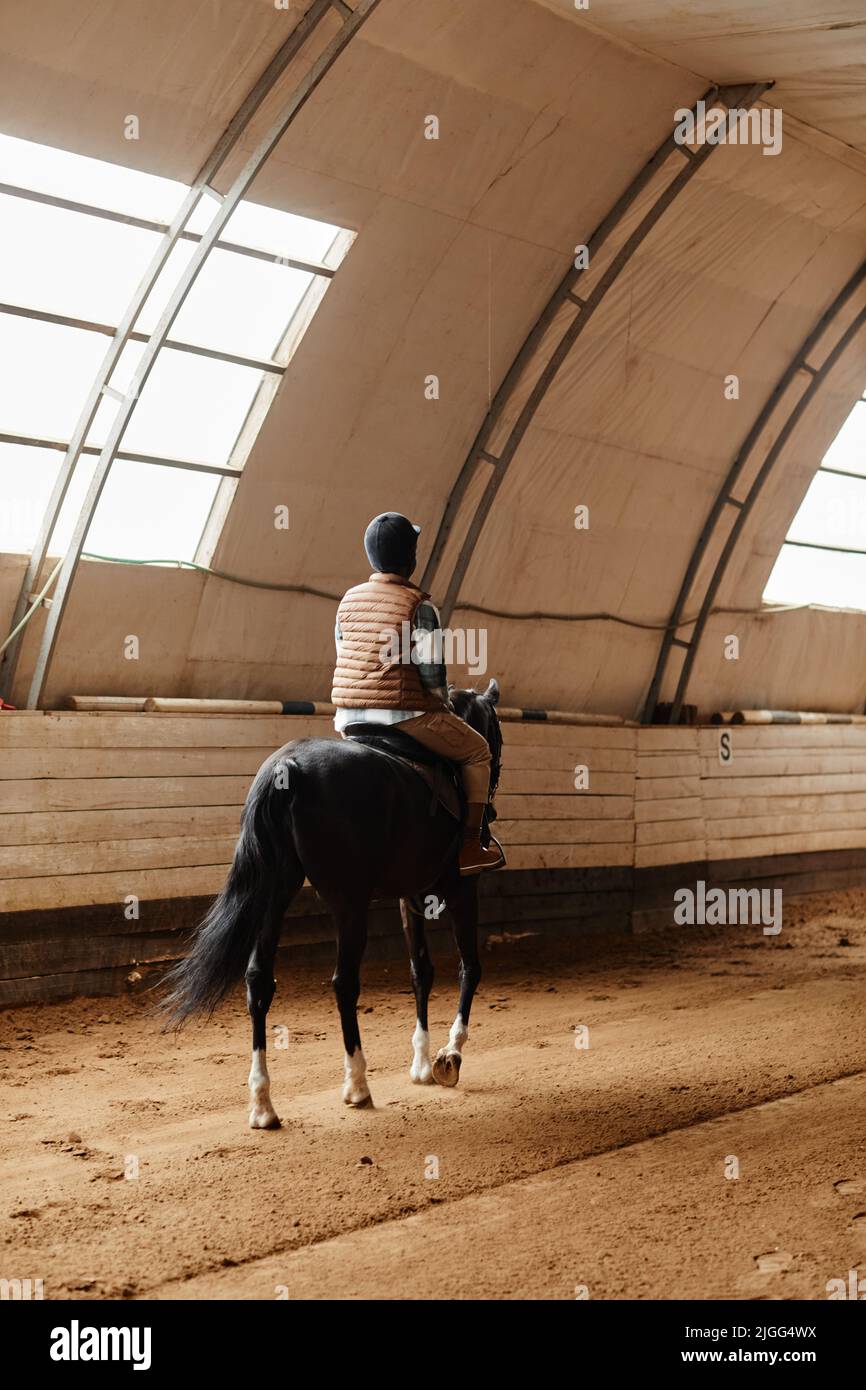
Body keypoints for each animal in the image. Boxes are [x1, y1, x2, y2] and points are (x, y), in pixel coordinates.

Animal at [161, 678, 503, 1128]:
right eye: (497, 735)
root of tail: (287, 767)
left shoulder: (409, 897)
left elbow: (421, 972)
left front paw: (422, 1064)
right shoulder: (463, 889)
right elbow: (470, 968)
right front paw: (450, 1056)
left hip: (276, 894)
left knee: (259, 981)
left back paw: (263, 1104)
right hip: (349, 902)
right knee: (344, 983)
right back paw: (356, 1084)